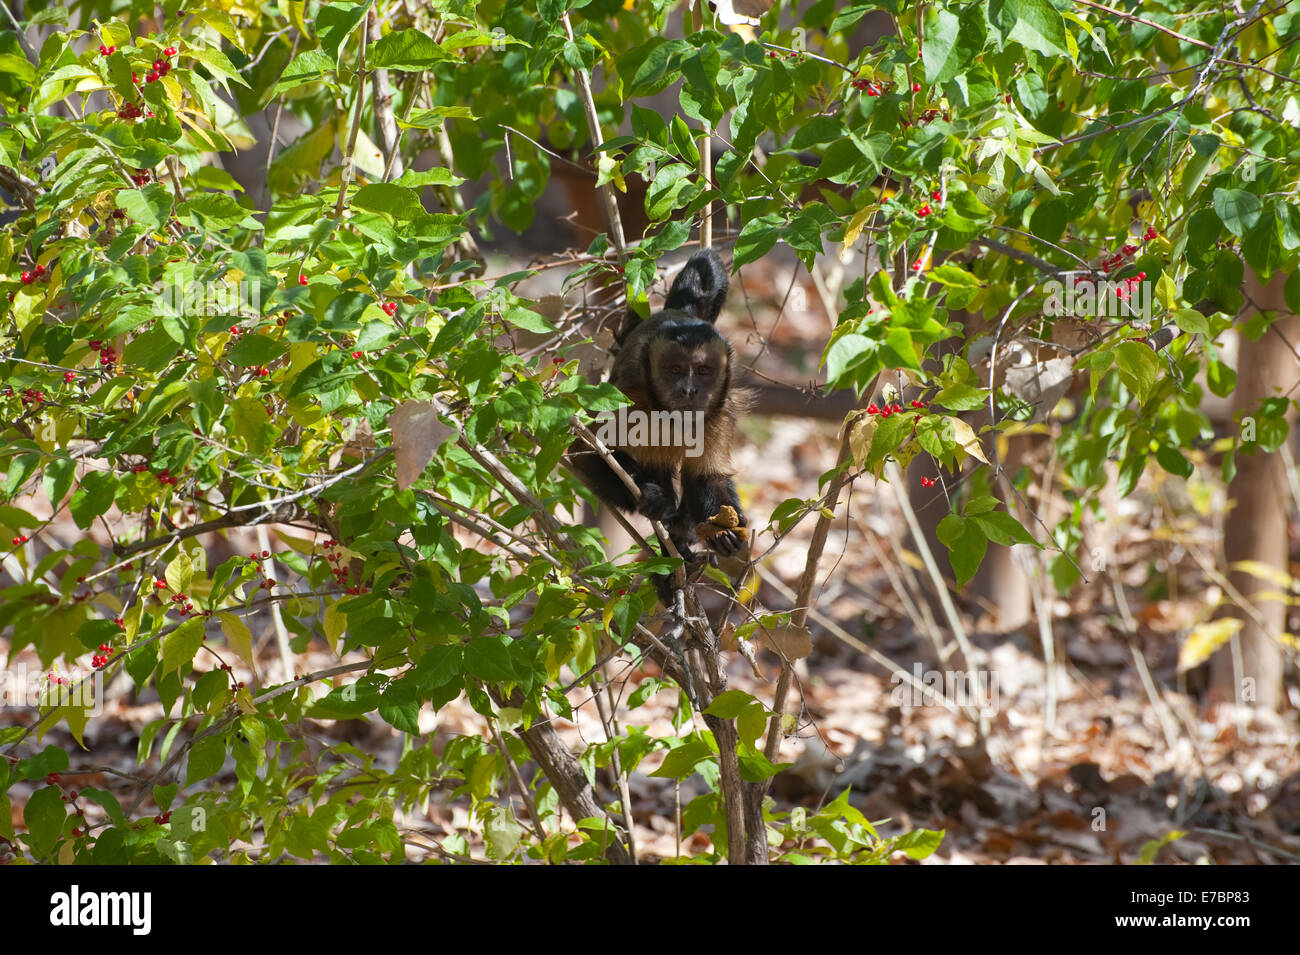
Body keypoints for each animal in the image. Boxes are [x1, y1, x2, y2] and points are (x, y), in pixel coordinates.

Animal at [570, 248, 751, 559]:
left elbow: (707, 477)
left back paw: (681, 535)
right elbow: (583, 454)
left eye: (703, 371)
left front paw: (722, 531)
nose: (689, 389)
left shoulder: (720, 412)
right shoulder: (629, 397)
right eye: (675, 370)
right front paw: (657, 499)